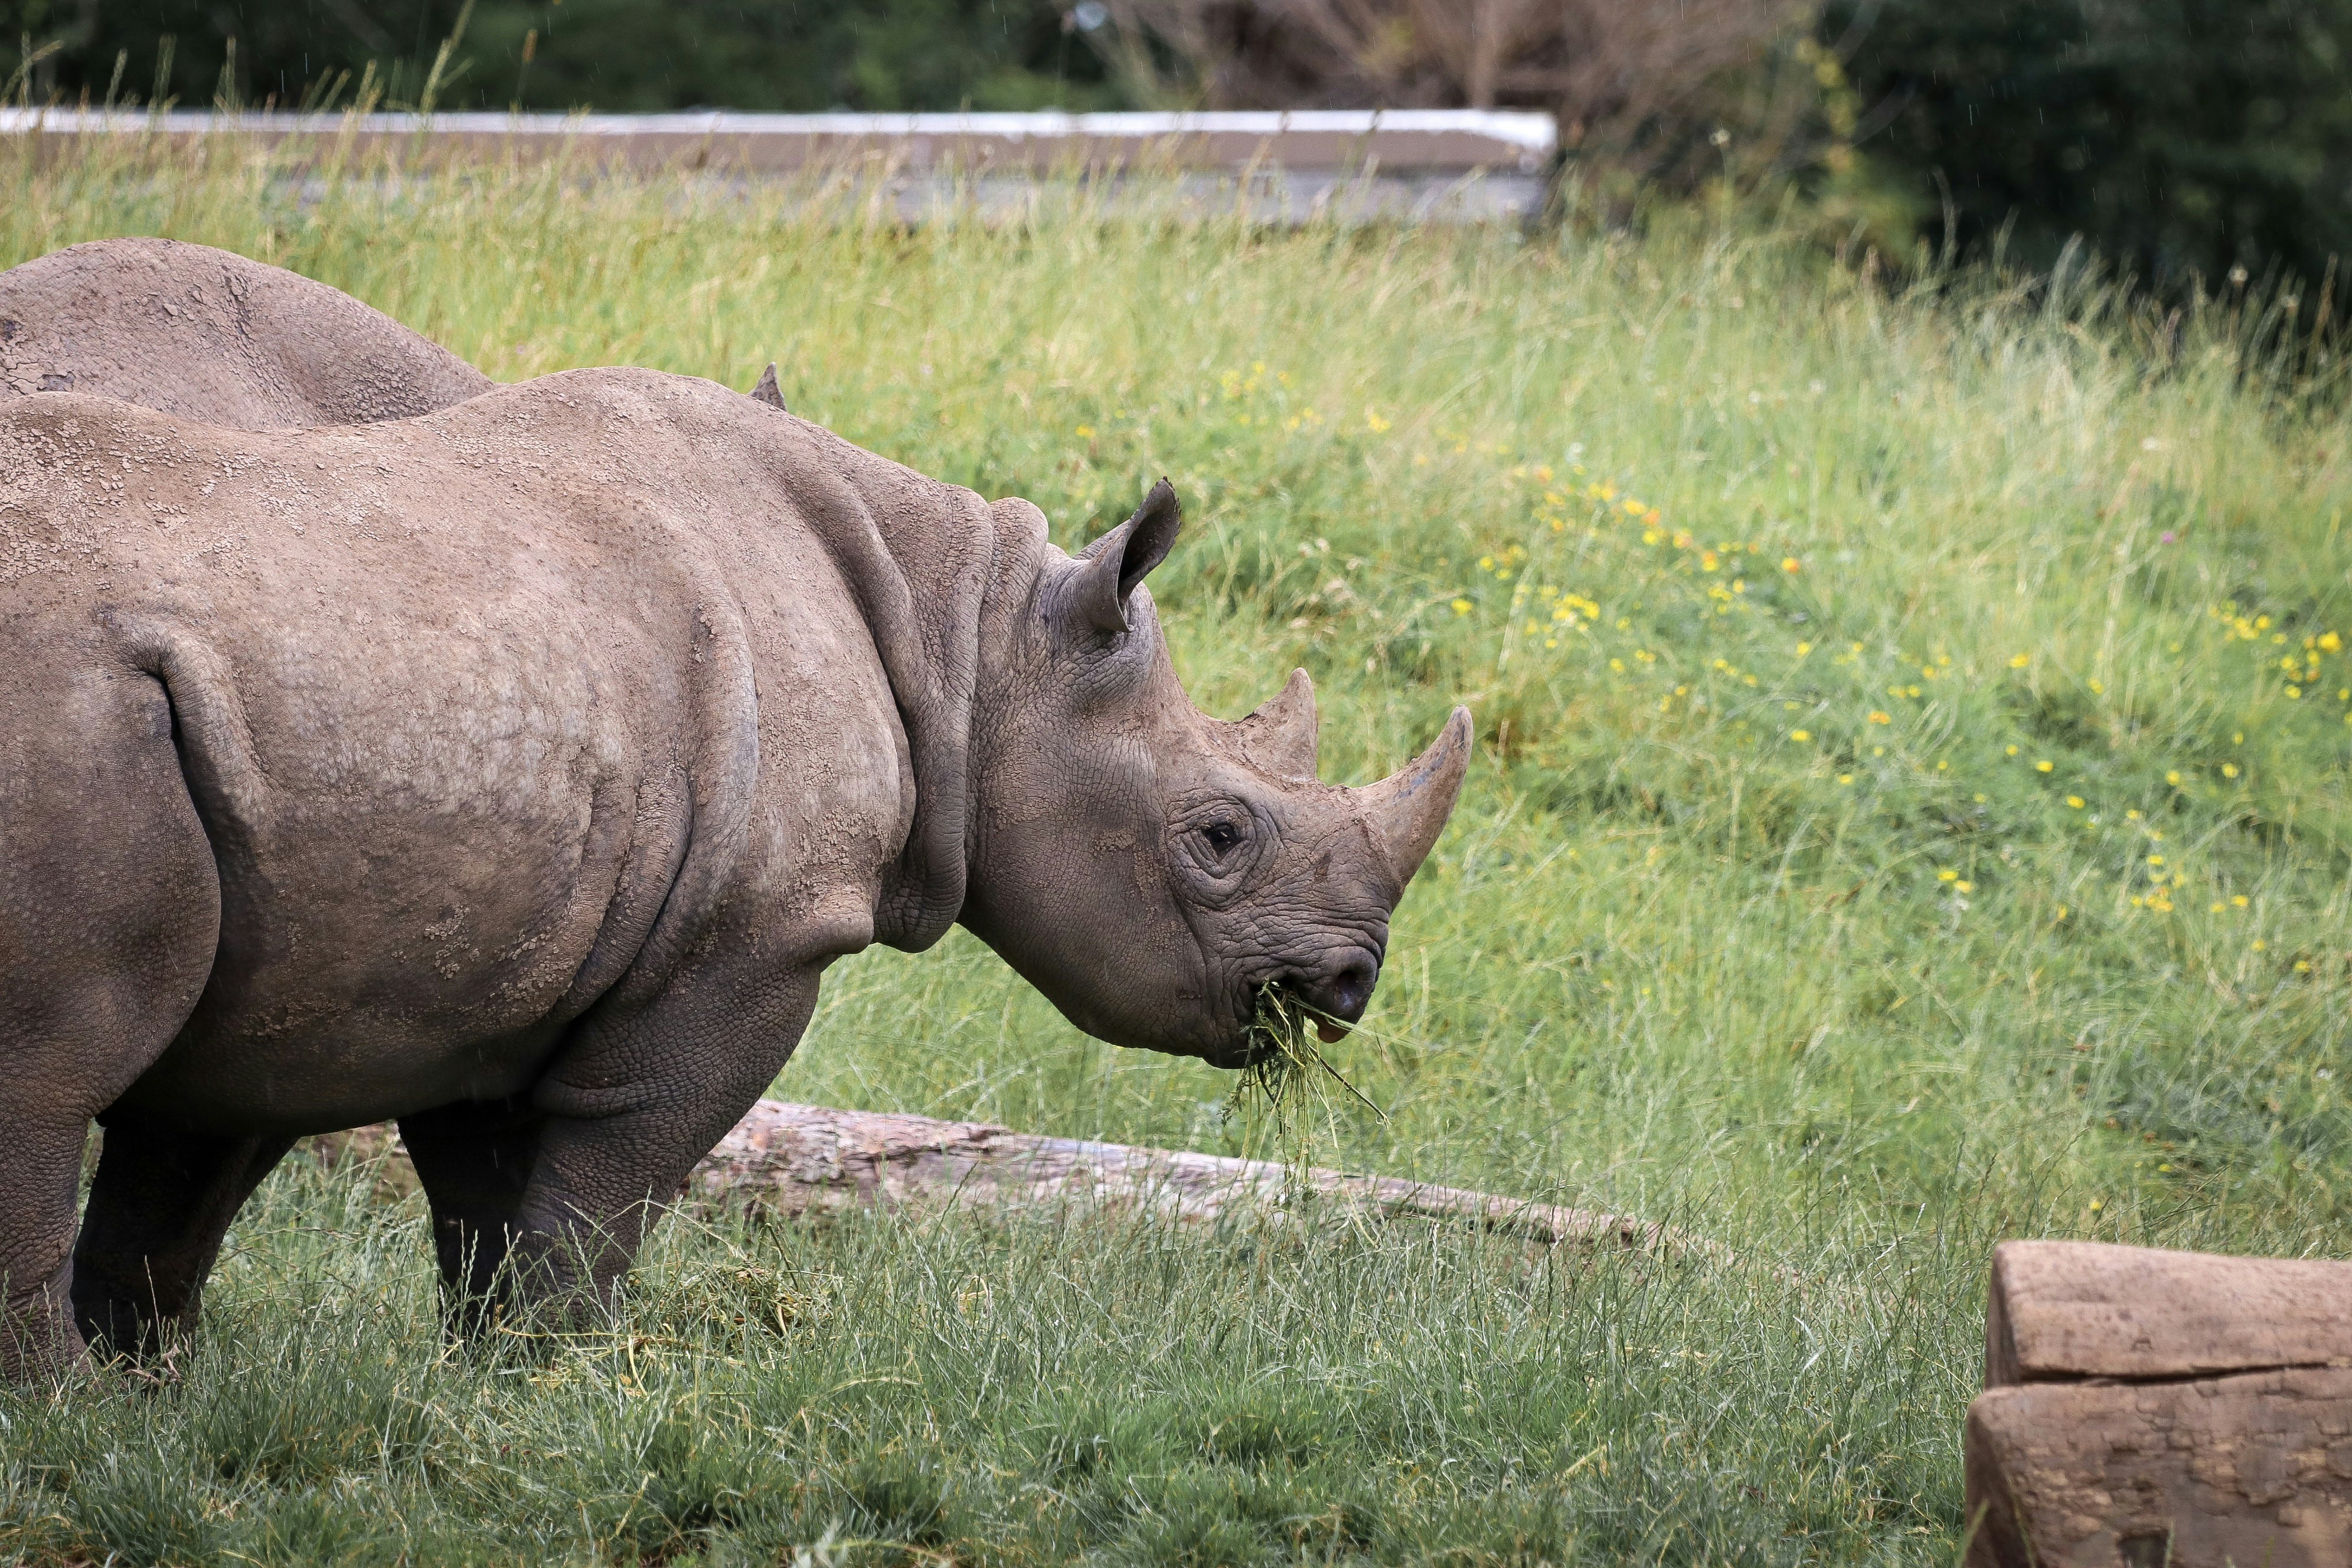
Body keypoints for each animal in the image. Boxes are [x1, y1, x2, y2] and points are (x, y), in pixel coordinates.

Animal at [0, 367, 1470, 1376]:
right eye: (1218, 836)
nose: (1350, 982)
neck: (975, 649)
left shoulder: (510, 947)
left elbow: (483, 1199)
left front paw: (480, 1385)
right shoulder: (753, 937)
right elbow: (610, 1185)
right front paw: (568, 1390)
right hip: (75, 713)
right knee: (49, 1071)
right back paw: (73, 1416)